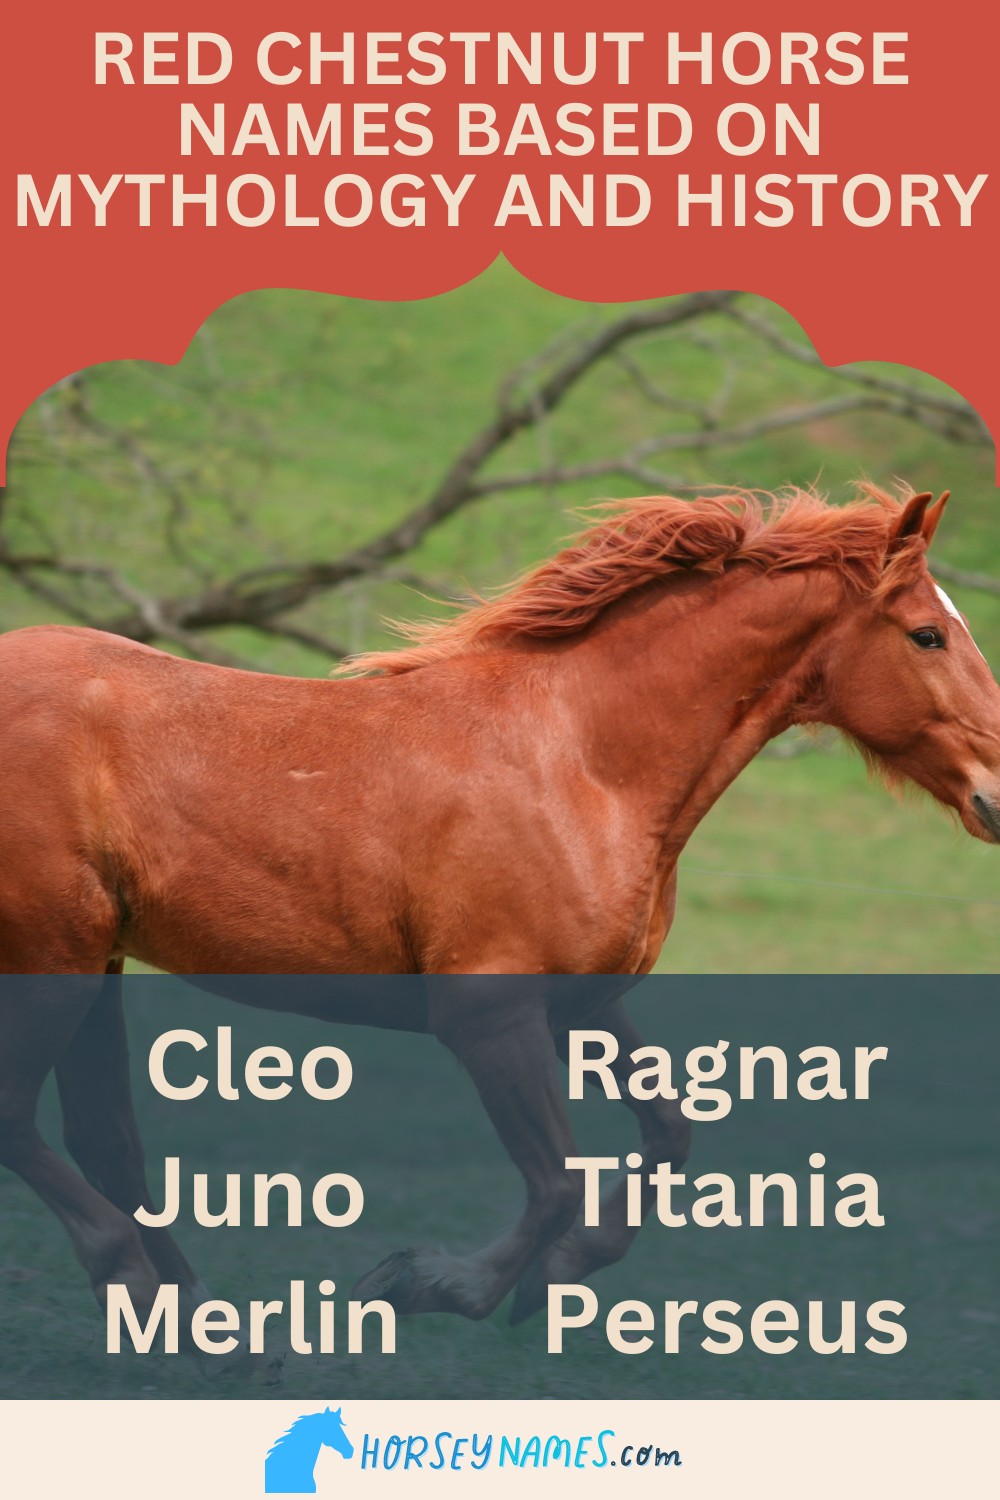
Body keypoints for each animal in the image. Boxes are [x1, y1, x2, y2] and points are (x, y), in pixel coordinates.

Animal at [1, 485, 999, 1345]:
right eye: (926, 635)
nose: (999, 795)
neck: (581, 763)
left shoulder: (585, 1004)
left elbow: (669, 1134)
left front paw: (558, 1274)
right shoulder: (490, 1015)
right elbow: (555, 1182)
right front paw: (433, 1283)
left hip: (98, 964)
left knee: (107, 1142)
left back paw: (213, 1340)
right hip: (53, 964)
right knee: (33, 1127)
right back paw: (142, 1289)